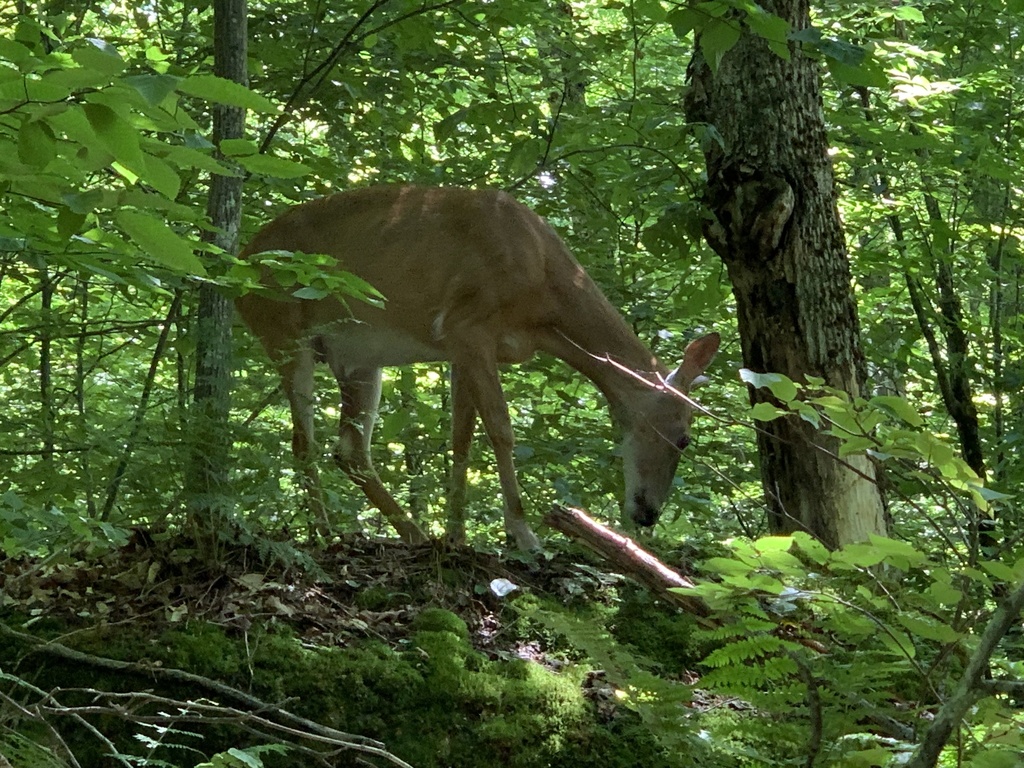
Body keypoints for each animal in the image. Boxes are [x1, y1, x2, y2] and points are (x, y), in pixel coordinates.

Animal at [235, 185, 720, 550]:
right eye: (684, 437)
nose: (648, 514)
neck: (544, 291)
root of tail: (241, 267)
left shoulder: (458, 349)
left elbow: (461, 440)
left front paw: (456, 535)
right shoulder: (468, 326)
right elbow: (501, 430)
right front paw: (523, 534)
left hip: (359, 359)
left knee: (350, 449)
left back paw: (413, 534)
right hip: (284, 330)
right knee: (304, 442)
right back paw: (325, 533)